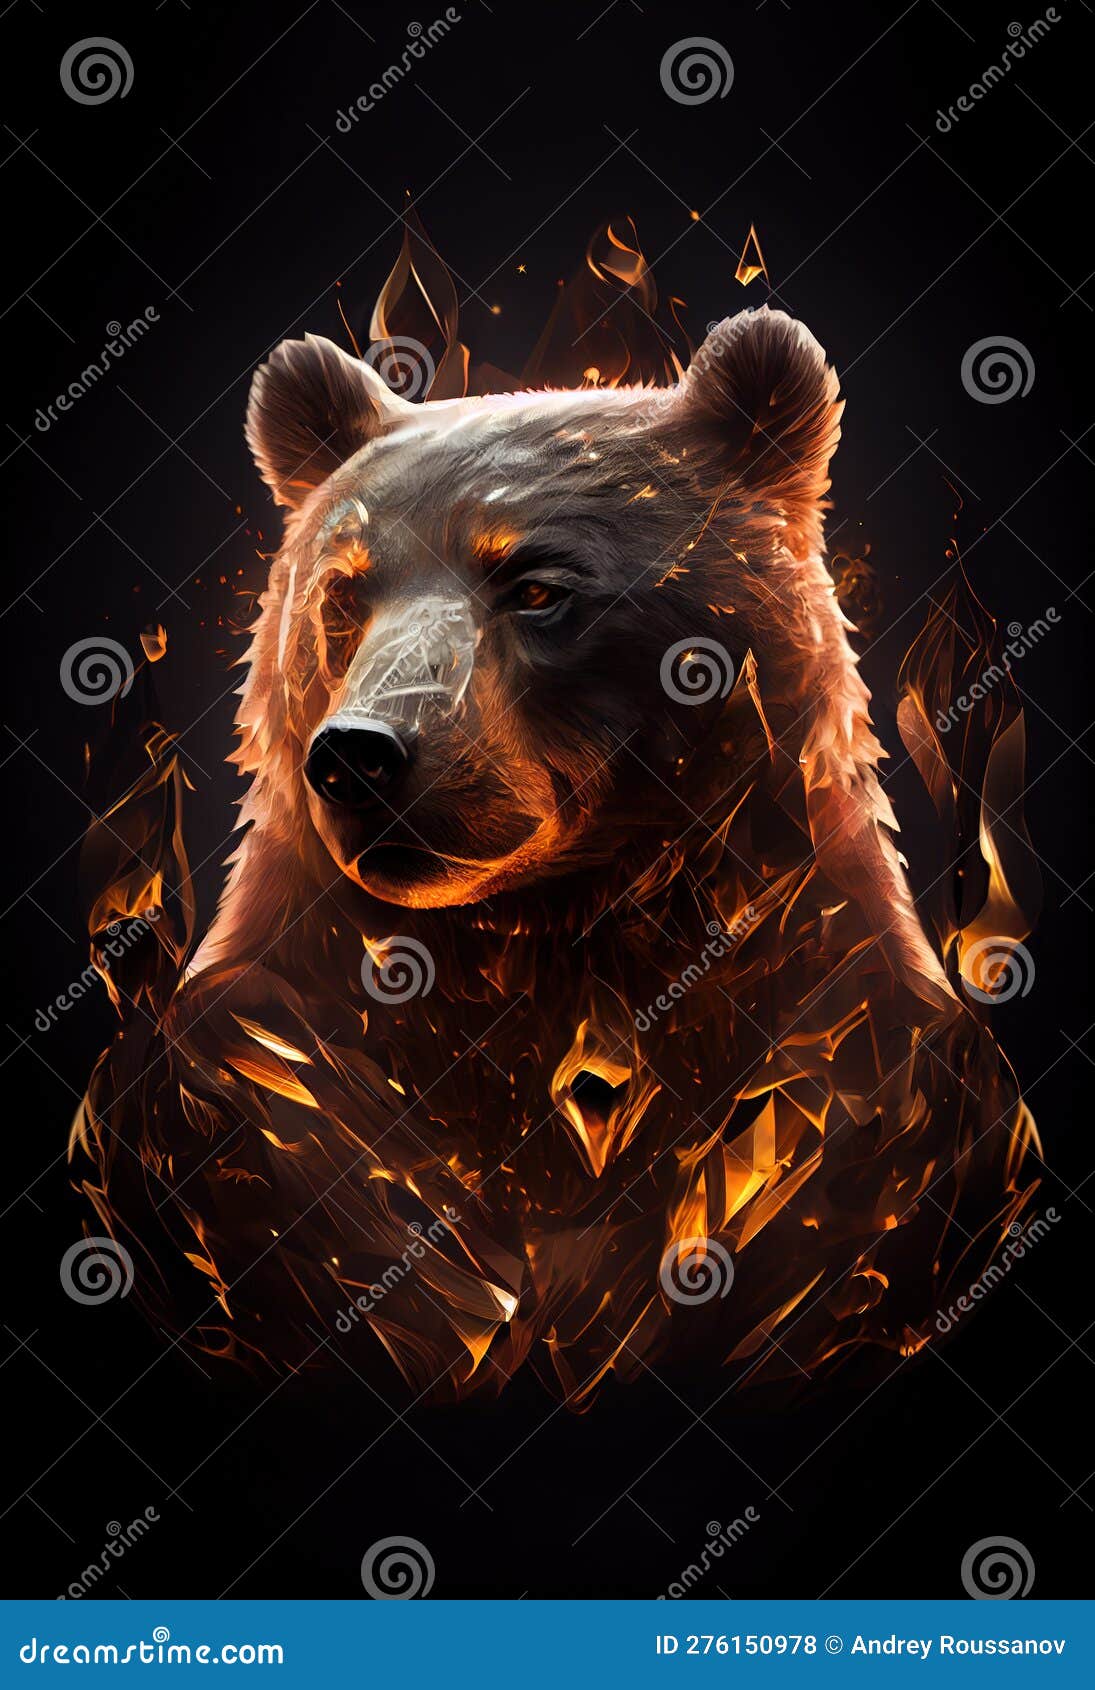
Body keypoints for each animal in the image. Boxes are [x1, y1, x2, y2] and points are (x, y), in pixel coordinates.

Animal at [74, 307, 1036, 1405]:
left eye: (534, 583)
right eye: (344, 592)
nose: (360, 754)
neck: (548, 939)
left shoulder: (855, 1071)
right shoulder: (253, 1084)